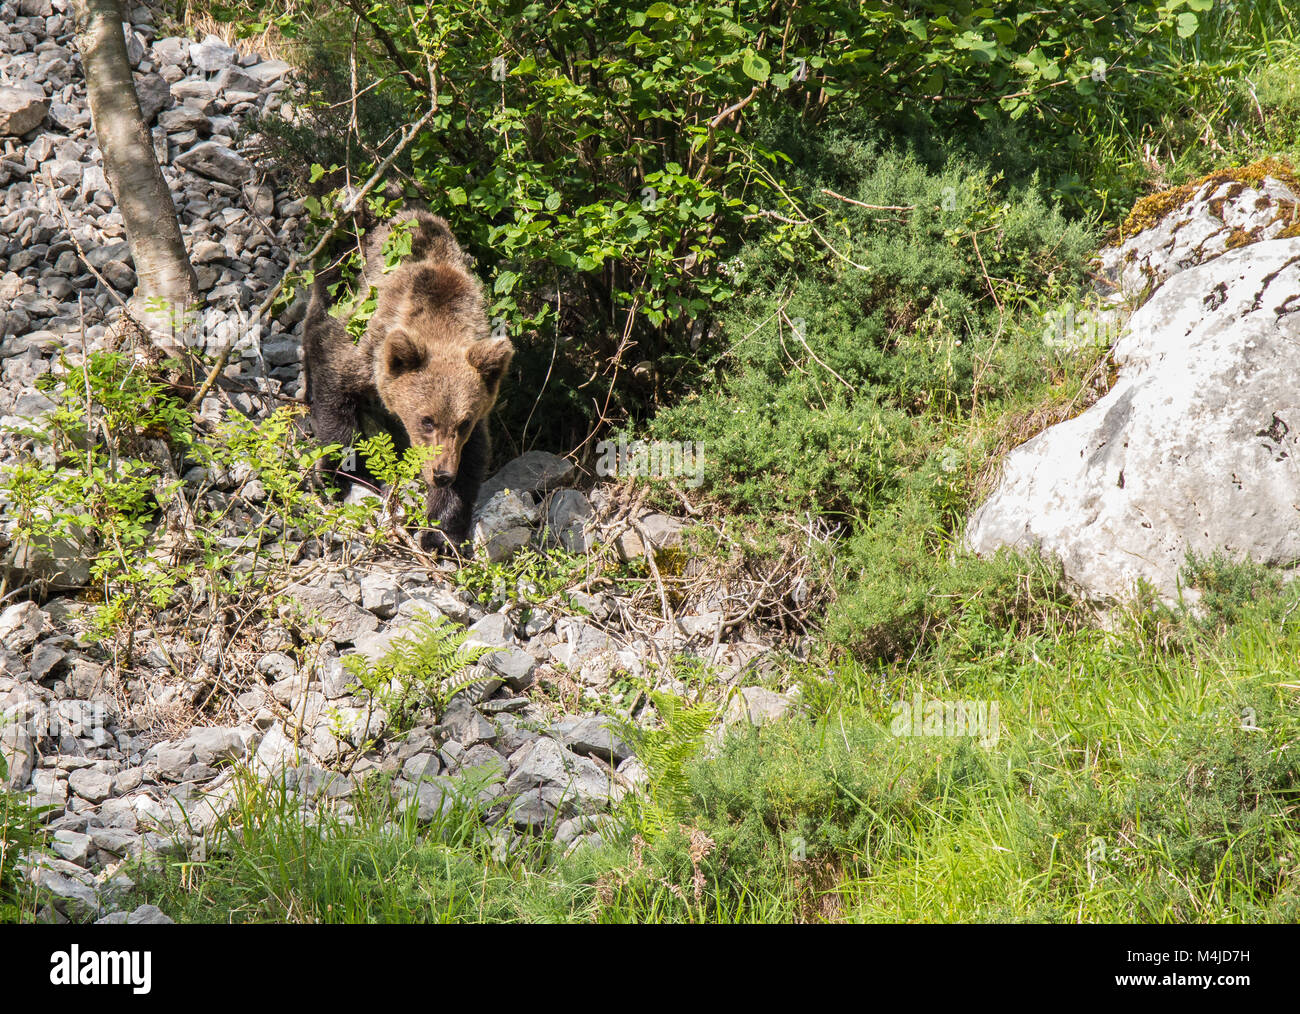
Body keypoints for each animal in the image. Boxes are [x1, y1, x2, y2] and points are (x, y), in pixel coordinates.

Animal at [304, 208, 513, 554]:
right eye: (426, 420)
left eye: (463, 423)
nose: (442, 474)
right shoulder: (365, 347)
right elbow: (335, 391)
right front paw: (337, 474)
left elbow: (472, 459)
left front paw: (442, 533)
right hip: (339, 265)